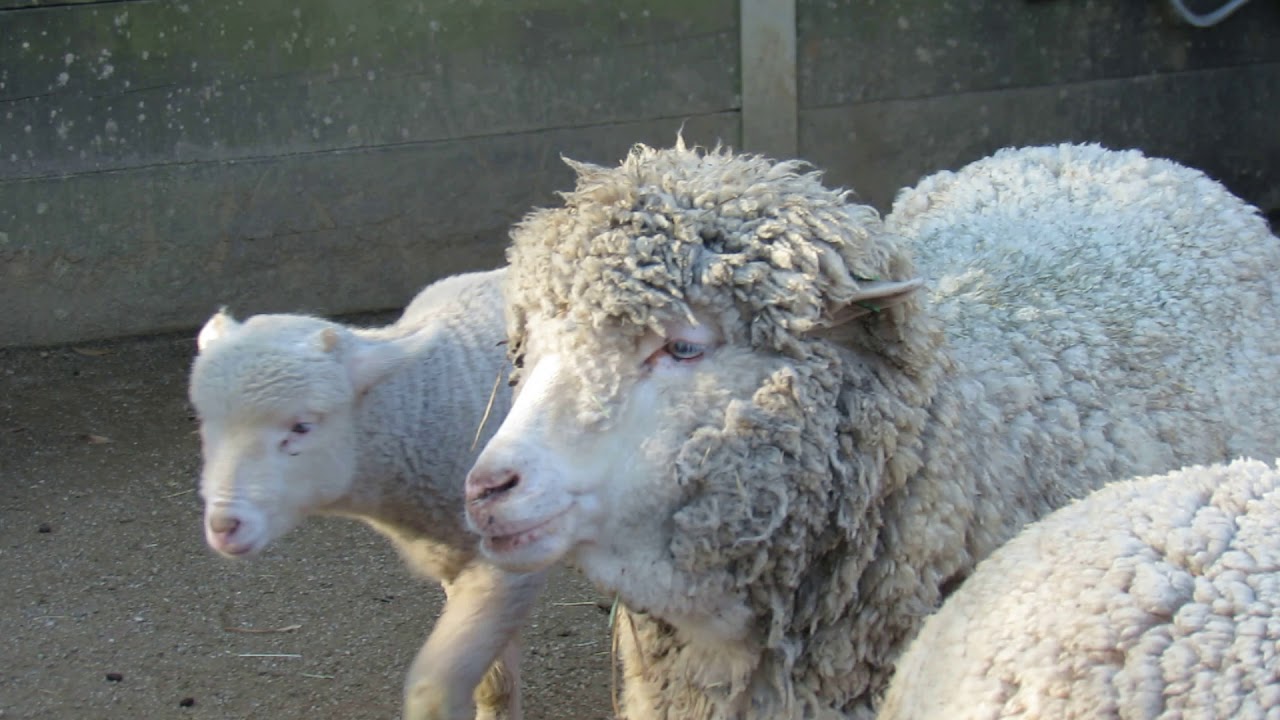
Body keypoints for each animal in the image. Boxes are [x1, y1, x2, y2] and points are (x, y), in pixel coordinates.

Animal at [188, 268, 542, 720]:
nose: (225, 525)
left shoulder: (509, 560)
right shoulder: (457, 553)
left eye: (302, 427)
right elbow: (494, 680)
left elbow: (435, 690)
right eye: (204, 423)